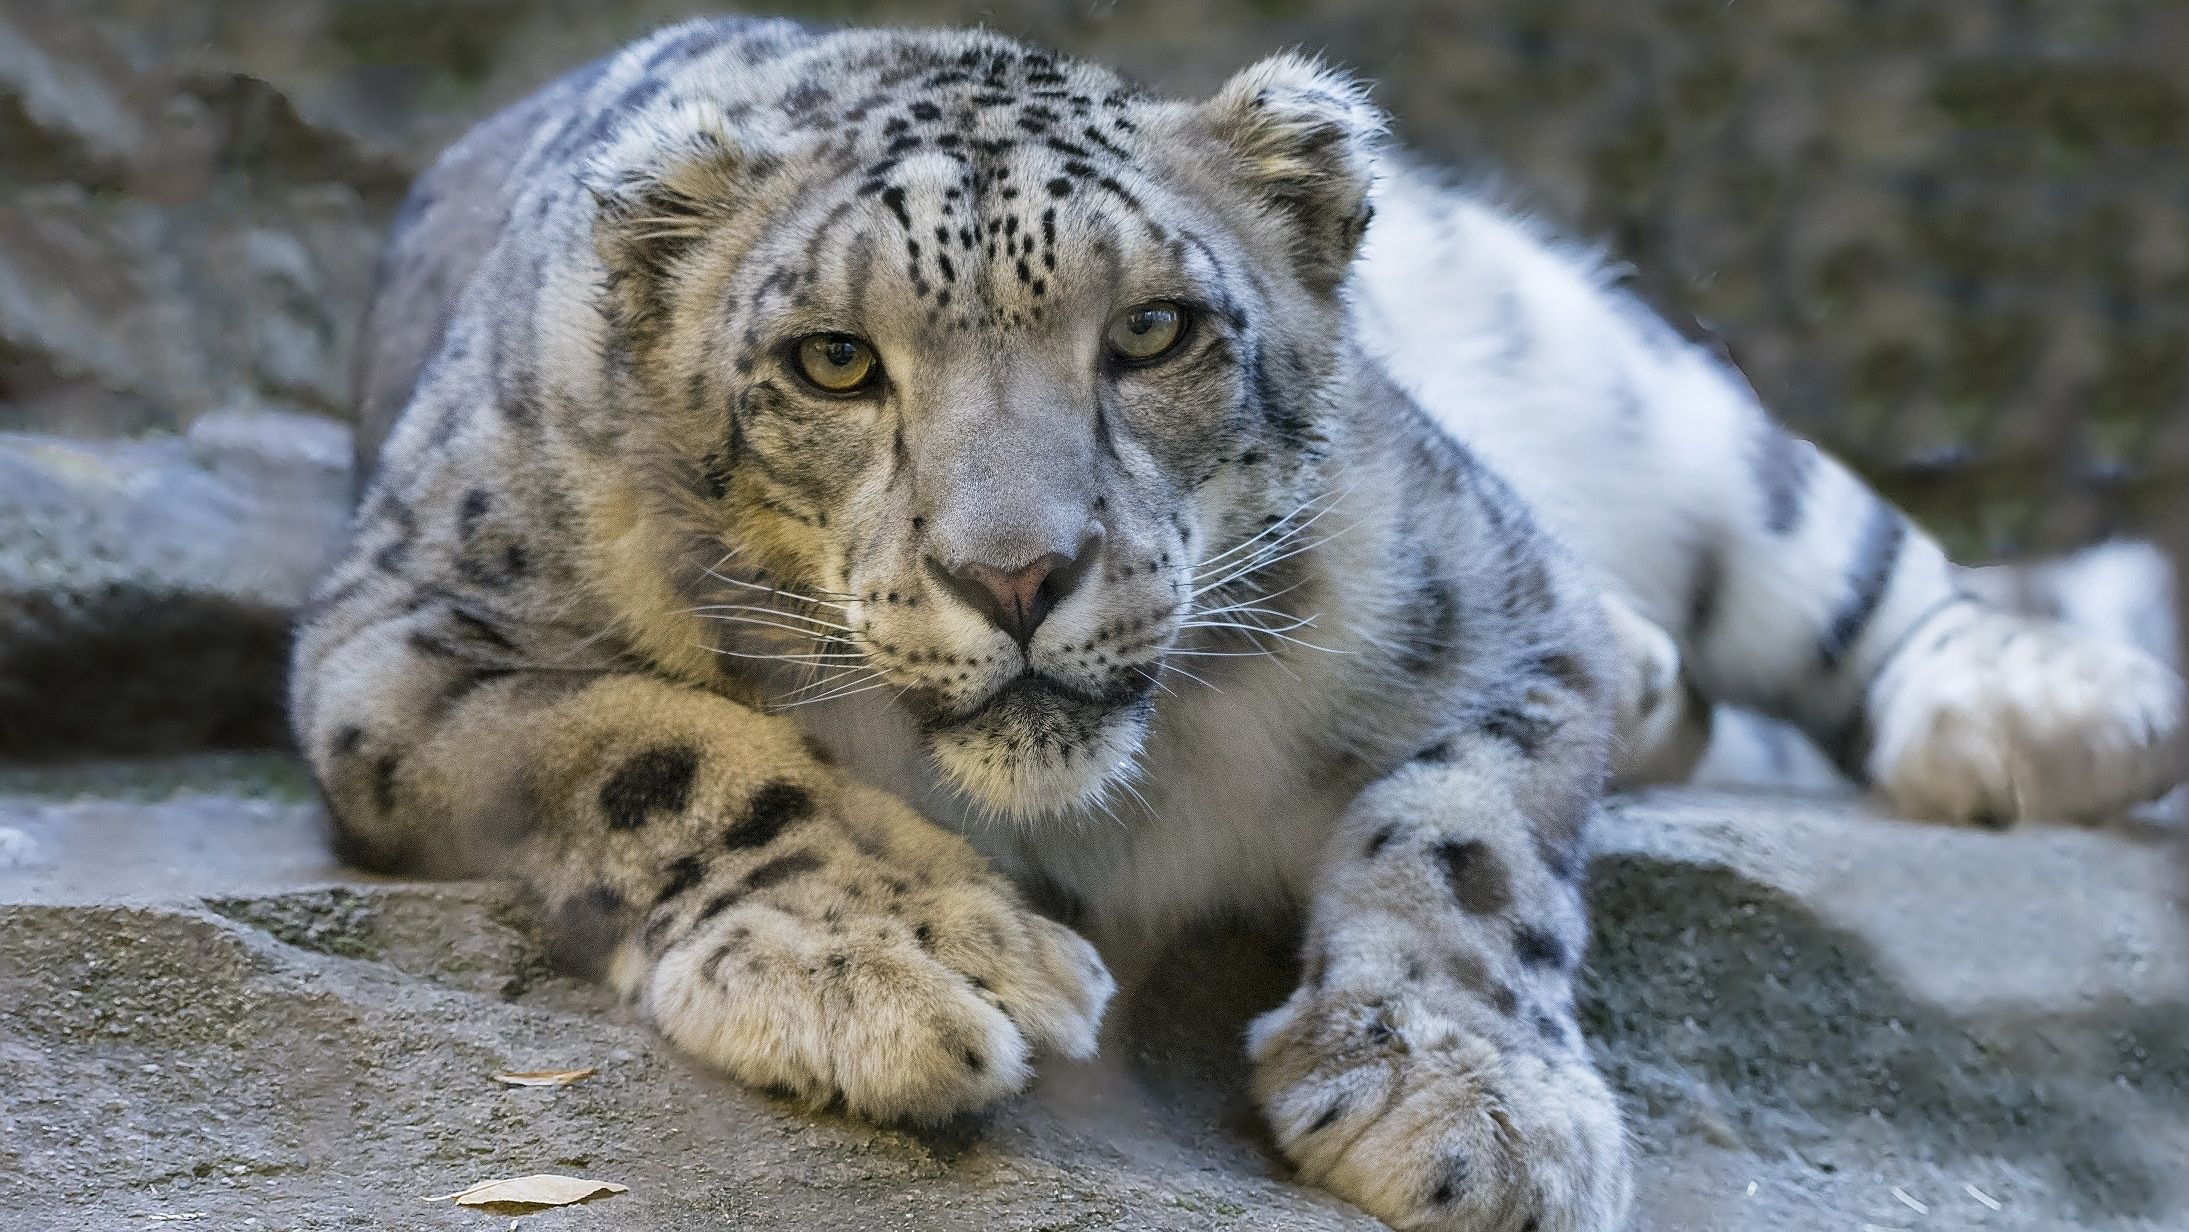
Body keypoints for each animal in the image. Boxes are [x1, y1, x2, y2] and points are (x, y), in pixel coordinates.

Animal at [292, 17, 2185, 1231]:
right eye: (831, 361)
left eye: (1151, 333)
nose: (1017, 571)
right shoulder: (409, 640)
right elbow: (664, 747)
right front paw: (906, 962)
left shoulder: (1499, 598)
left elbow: (1469, 840)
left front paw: (1459, 1102)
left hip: (1622, 381)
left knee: (1839, 552)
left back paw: (2045, 708)